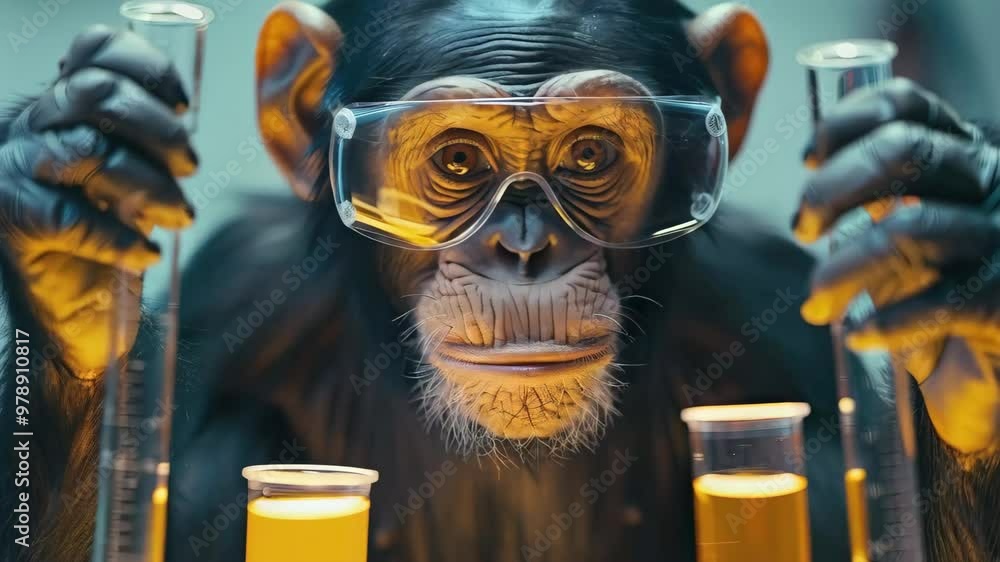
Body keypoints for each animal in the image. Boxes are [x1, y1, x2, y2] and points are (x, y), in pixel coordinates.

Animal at [0, 1, 998, 561]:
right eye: (455, 159)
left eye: (589, 153)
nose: (524, 250)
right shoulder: (225, 301)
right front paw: (66, 237)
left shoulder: (780, 308)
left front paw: (959, 294)